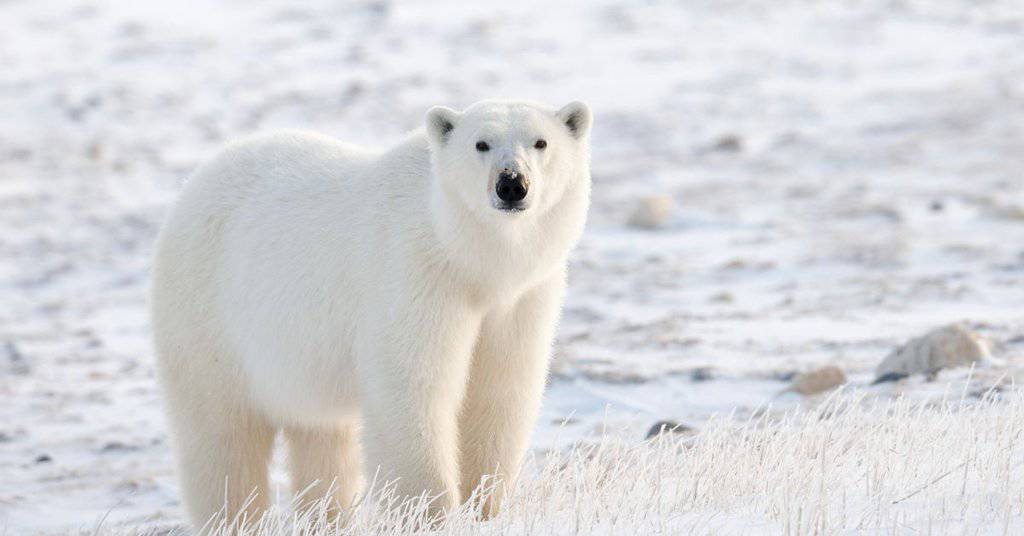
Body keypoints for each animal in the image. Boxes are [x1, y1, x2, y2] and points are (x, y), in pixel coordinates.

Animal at [150, 99, 593, 529]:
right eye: (481, 144)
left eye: (541, 142)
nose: (512, 184)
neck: (468, 259)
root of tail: (196, 180)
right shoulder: (414, 276)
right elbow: (414, 390)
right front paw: (429, 514)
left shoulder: (520, 298)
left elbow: (498, 391)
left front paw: (484, 508)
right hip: (208, 316)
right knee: (222, 436)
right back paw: (234, 517)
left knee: (322, 439)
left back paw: (327, 517)